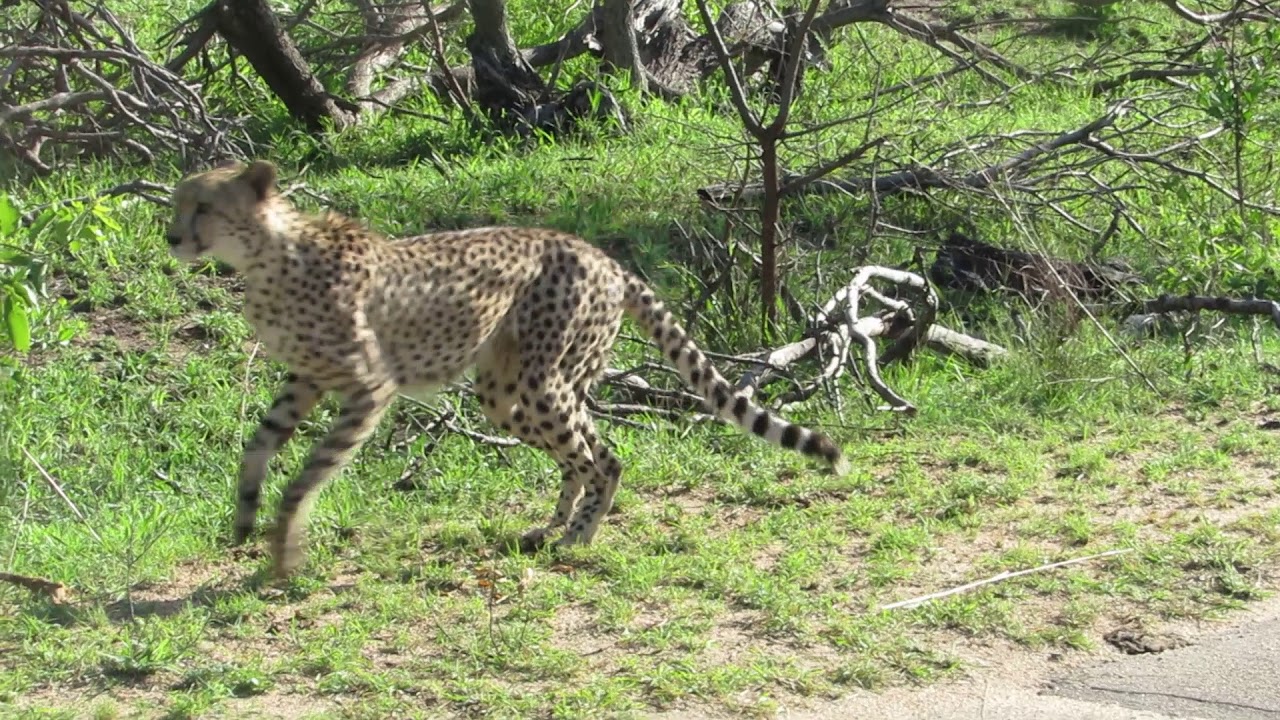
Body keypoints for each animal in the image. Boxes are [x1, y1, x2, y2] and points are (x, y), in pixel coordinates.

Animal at [164, 159, 849, 579]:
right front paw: (244, 519)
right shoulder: (303, 380)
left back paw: (580, 537)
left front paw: (284, 549)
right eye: (177, 202)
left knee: (604, 457)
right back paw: (555, 523)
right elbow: (257, 446)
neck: (271, 256)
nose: (171, 236)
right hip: (507, 388)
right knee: (580, 451)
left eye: (203, 206)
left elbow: (307, 475)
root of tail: (600, 254)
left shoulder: (369, 387)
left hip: (543, 379)